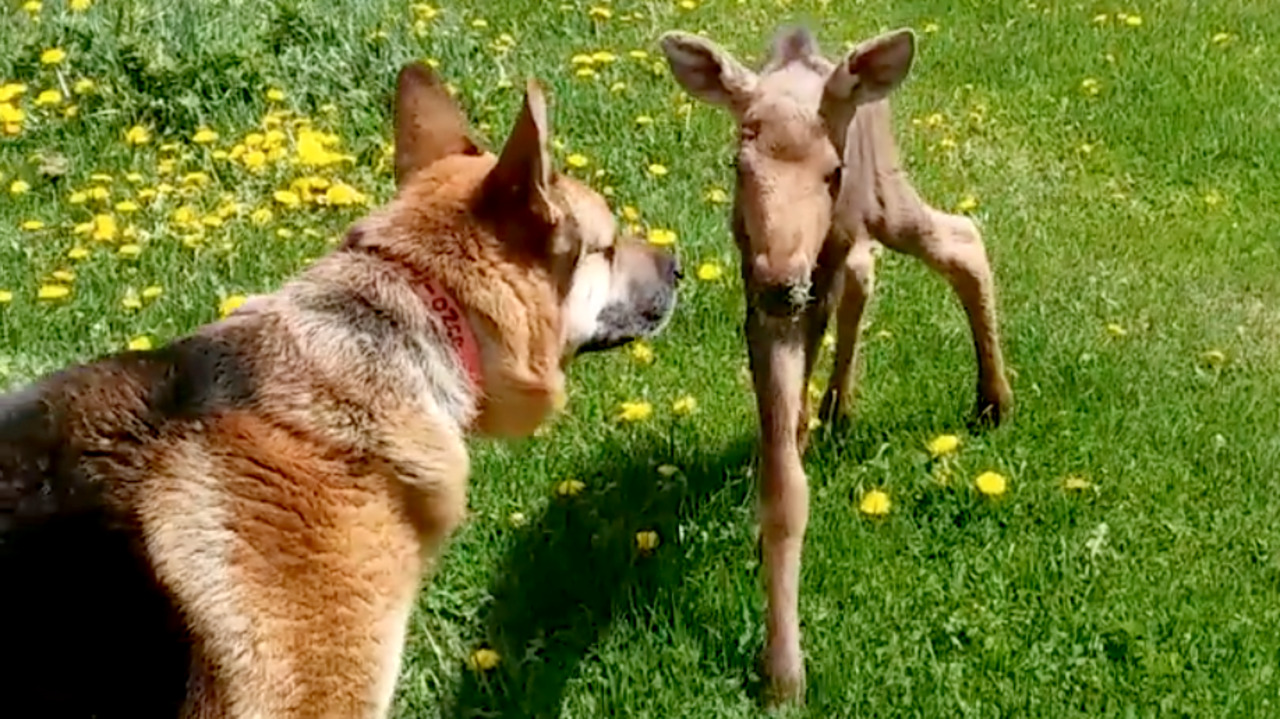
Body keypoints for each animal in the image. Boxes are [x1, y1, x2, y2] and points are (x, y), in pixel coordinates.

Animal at [659, 25, 1013, 704]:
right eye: (738, 166)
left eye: (832, 172)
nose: (780, 281)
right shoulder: (761, 298)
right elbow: (783, 479)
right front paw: (781, 661)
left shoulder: (812, 278)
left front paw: (783, 673)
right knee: (867, 272)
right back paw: (839, 406)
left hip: (885, 195)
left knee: (960, 238)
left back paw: (993, 398)